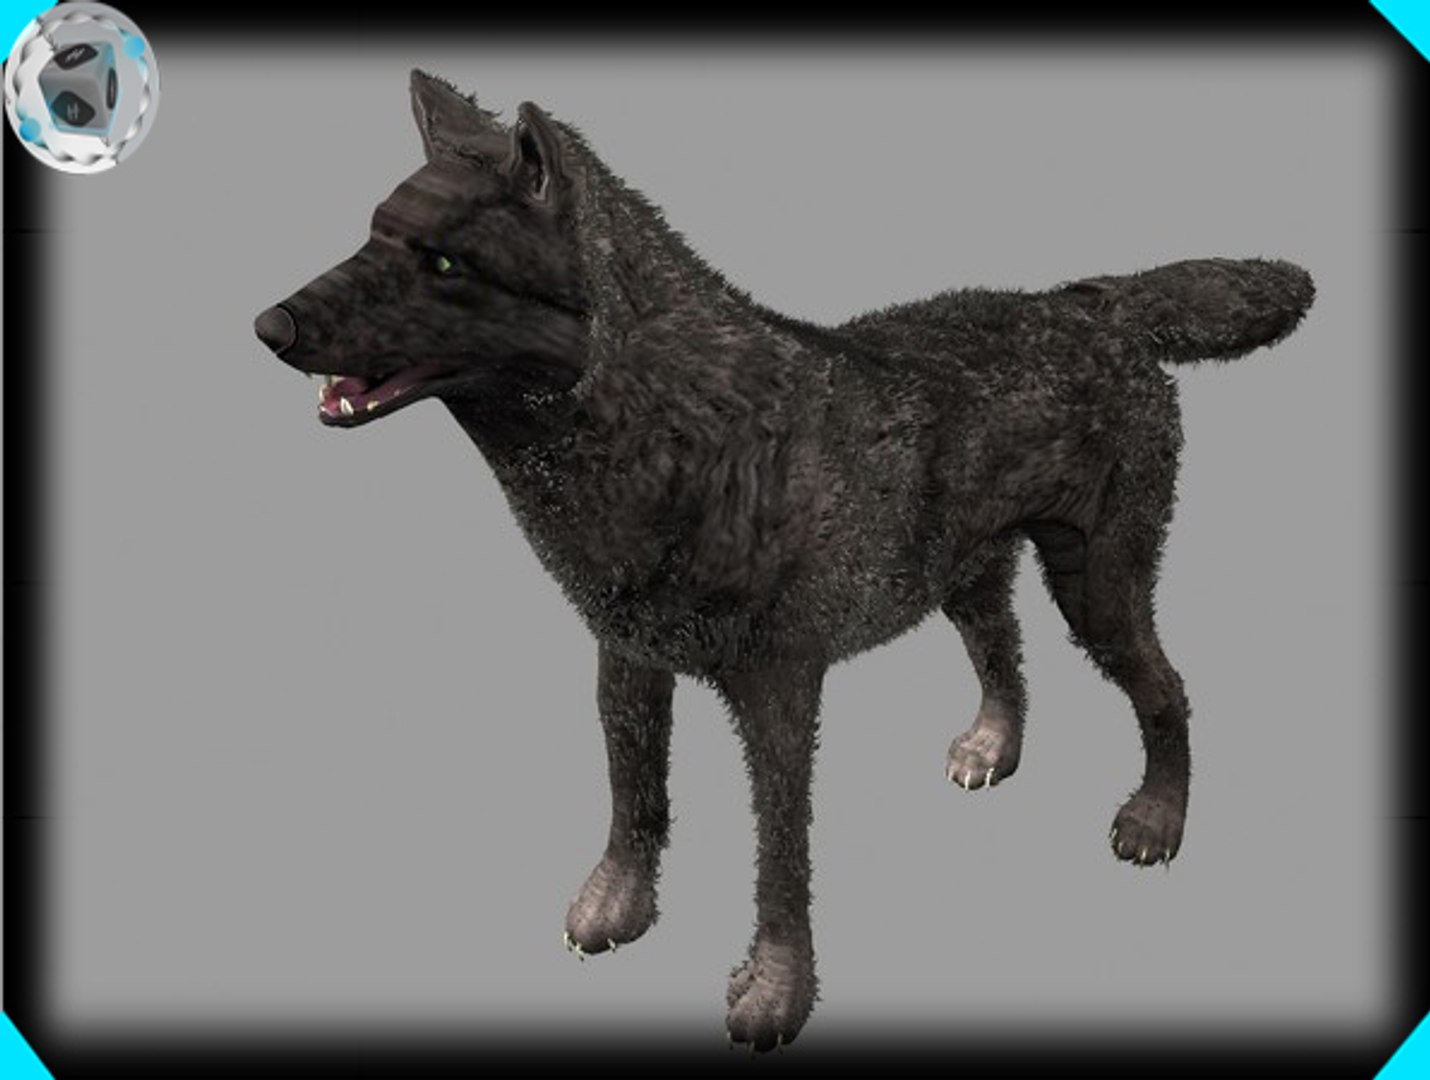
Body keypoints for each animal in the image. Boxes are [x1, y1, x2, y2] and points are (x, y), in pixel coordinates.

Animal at [254, 70, 1314, 1050]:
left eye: (441, 260)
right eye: (372, 236)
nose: (271, 326)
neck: (667, 430)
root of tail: (1091, 304)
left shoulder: (779, 693)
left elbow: (779, 858)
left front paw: (775, 991)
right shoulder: (626, 661)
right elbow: (633, 798)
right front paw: (619, 905)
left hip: (1099, 586)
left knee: (1166, 690)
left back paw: (1158, 819)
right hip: (962, 573)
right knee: (1004, 652)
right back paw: (993, 746)